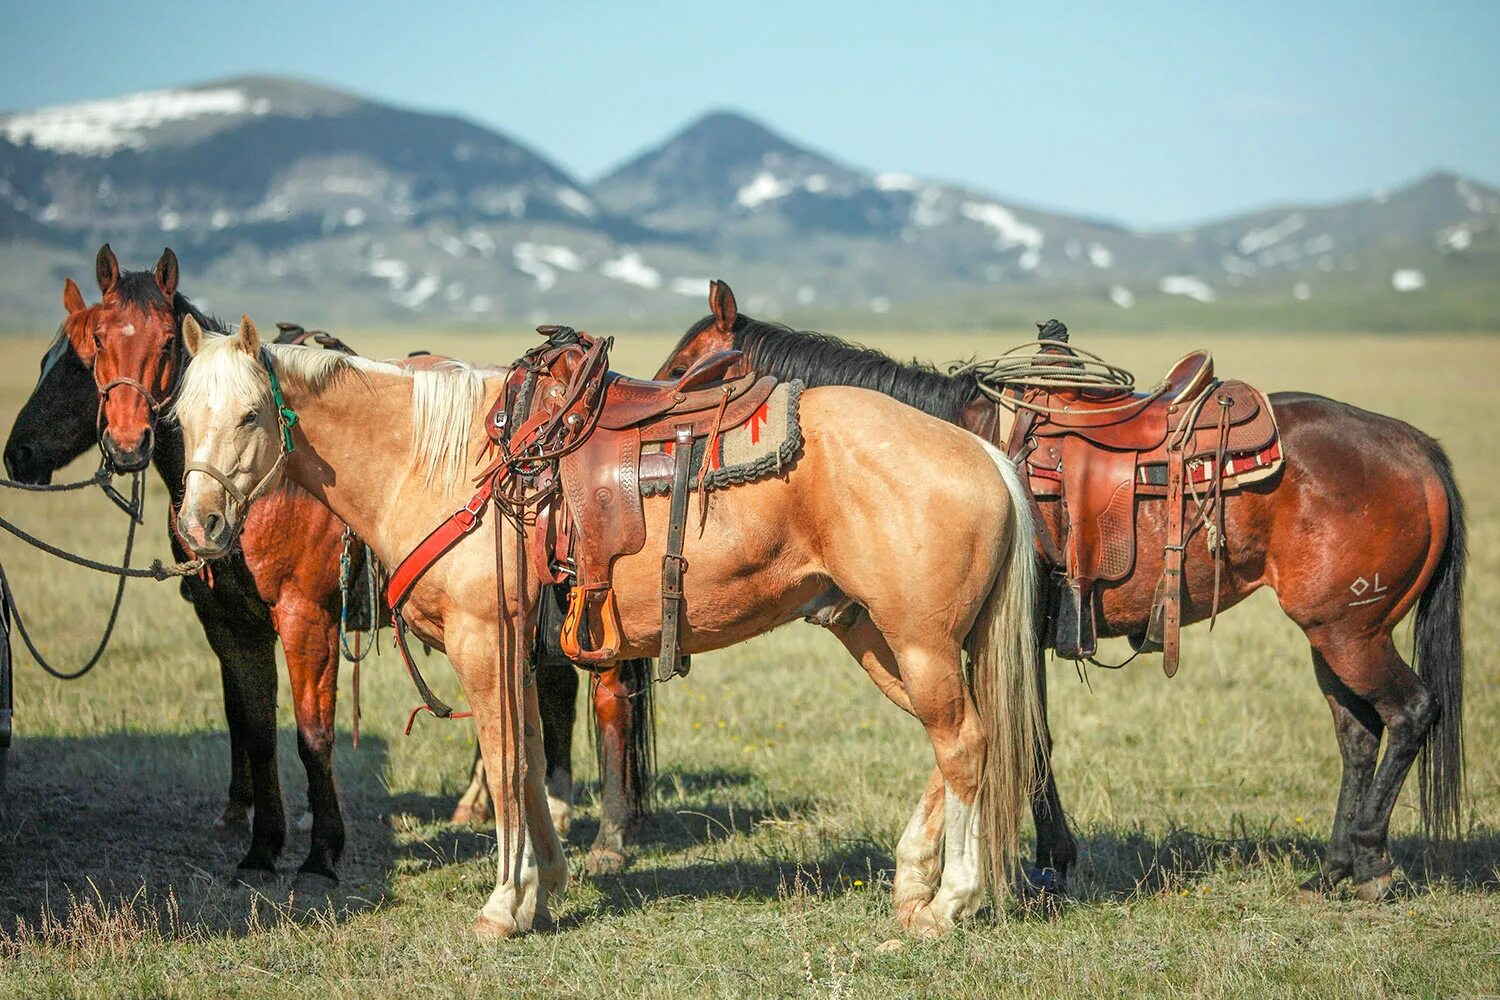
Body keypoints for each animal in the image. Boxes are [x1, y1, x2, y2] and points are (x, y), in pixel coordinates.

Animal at [170, 319, 1044, 941]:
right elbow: (528, 767)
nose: (200, 524)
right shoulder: (518, 653)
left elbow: (505, 764)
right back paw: (912, 881)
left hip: (921, 644)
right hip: (877, 636)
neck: (441, 464)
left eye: (249, 413)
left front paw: (503, 904)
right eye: (178, 418)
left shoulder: (481, 643)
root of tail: (983, 454)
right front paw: (543, 889)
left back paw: (949, 903)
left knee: (964, 744)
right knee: (961, 741)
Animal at [657, 277, 1464, 905]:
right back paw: (1332, 869)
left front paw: (1047, 865)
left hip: (1348, 629)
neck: (941, 440)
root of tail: (1417, 448)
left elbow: (1024, 738)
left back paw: (1370, 860)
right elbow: (1033, 737)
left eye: (692, 370)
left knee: (1410, 711)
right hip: (1333, 631)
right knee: (1358, 733)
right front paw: (1051, 859)